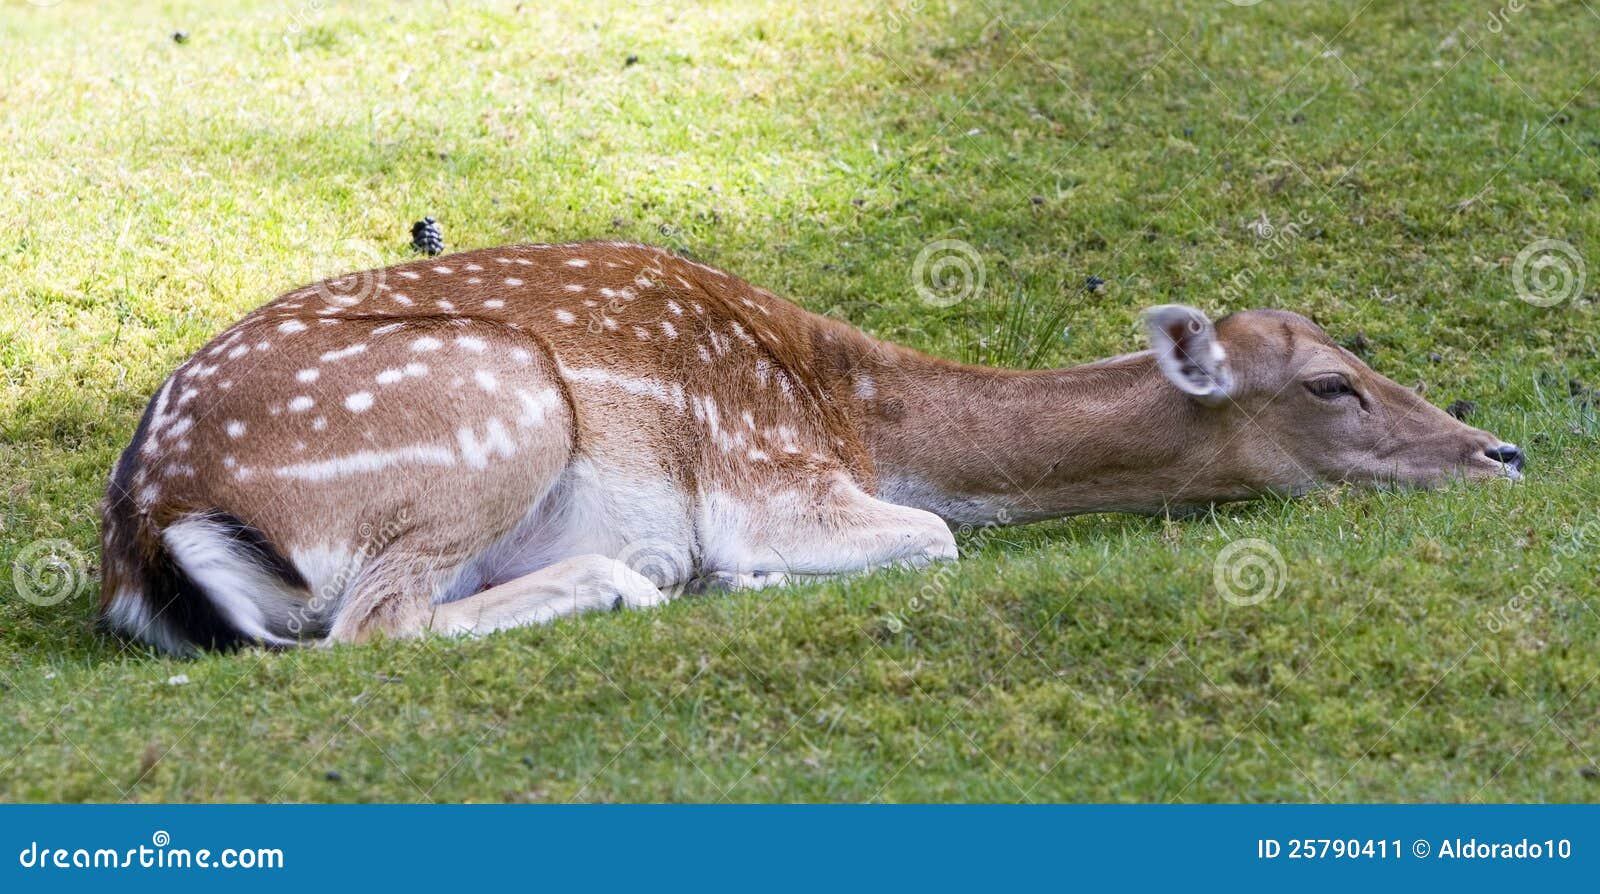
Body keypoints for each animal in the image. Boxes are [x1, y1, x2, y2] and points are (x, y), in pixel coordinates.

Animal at [98, 241, 1525, 653]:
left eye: (1352, 347)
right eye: (1333, 386)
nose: (1500, 454)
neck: (861, 413)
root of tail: (144, 535)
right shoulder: (768, 477)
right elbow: (934, 536)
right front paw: (747, 575)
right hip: (497, 405)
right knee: (371, 626)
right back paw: (637, 580)